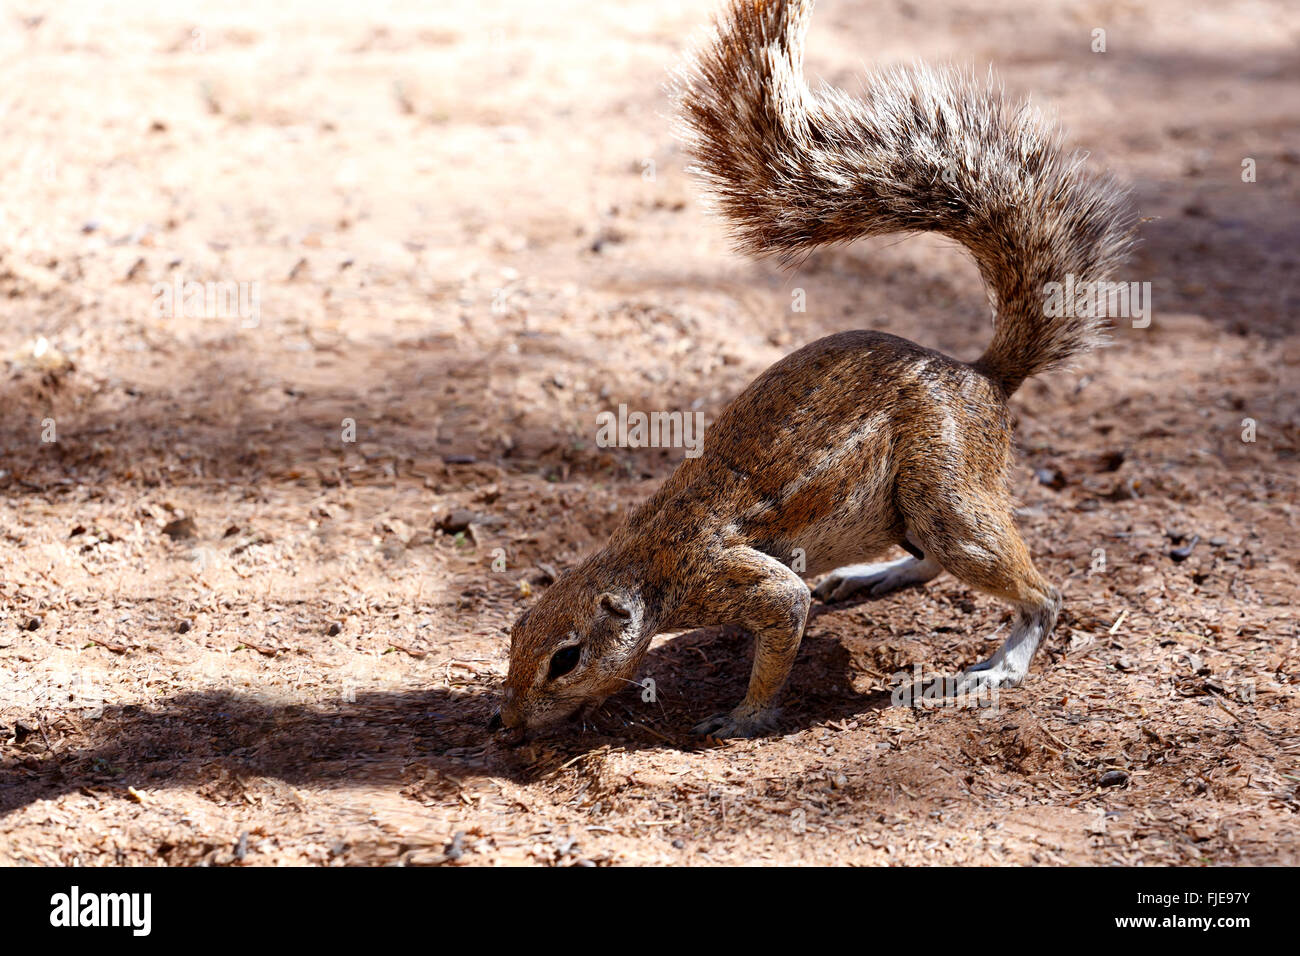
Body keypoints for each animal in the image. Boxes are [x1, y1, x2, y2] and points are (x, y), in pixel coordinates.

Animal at [489, 0, 1135, 740]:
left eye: (565, 659)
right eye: (513, 633)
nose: (505, 724)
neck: (646, 560)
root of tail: (984, 375)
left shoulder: (740, 579)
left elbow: (785, 622)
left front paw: (741, 717)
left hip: (948, 497)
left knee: (1038, 593)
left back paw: (998, 666)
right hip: (916, 511)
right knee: (929, 563)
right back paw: (871, 577)